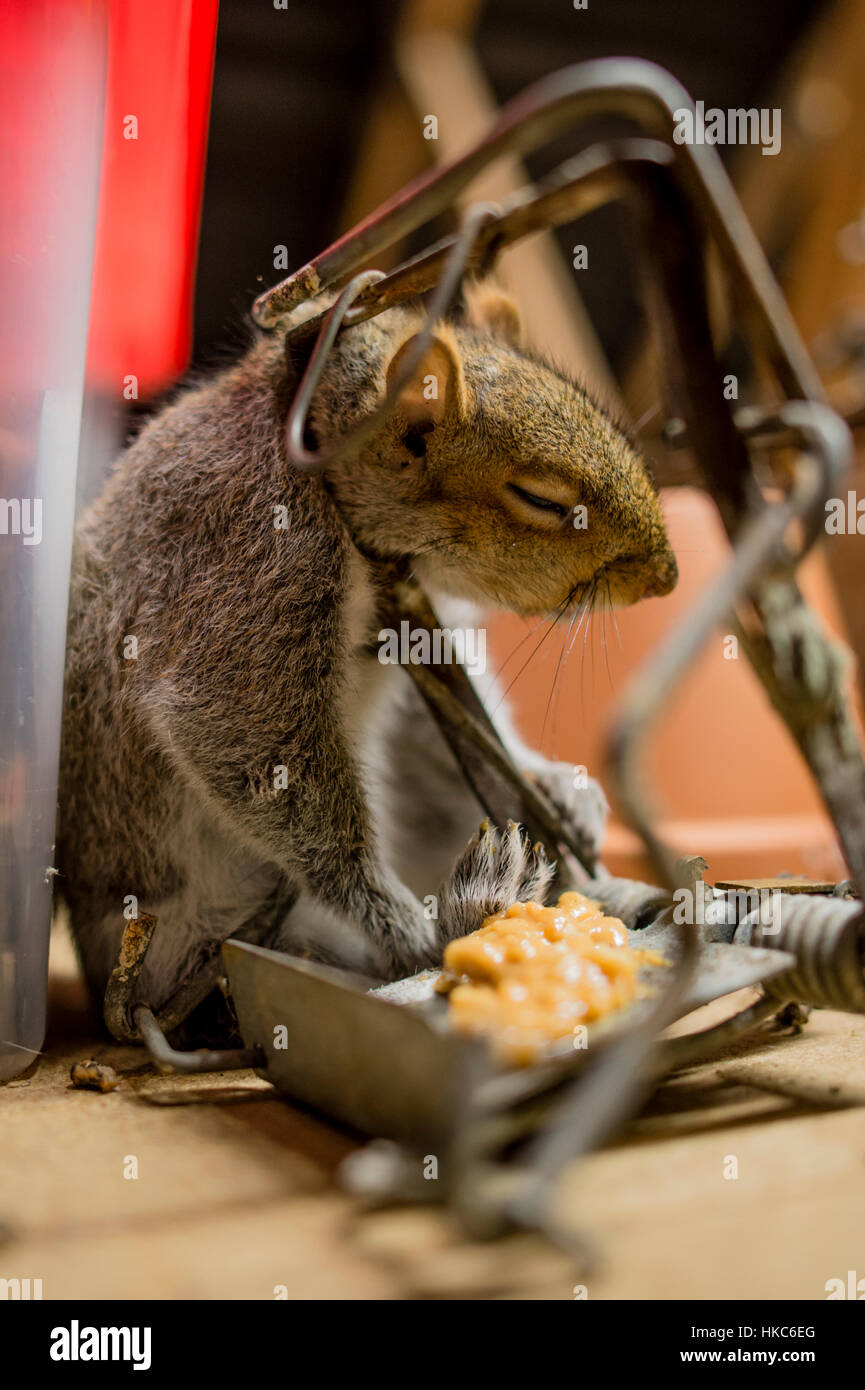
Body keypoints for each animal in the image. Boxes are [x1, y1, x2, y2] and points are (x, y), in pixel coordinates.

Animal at [57, 282, 677, 1014]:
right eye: (540, 499)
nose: (666, 576)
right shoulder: (255, 559)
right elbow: (242, 740)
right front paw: (395, 917)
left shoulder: (416, 637)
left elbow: (451, 717)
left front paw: (557, 783)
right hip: (209, 952)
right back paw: (470, 911)